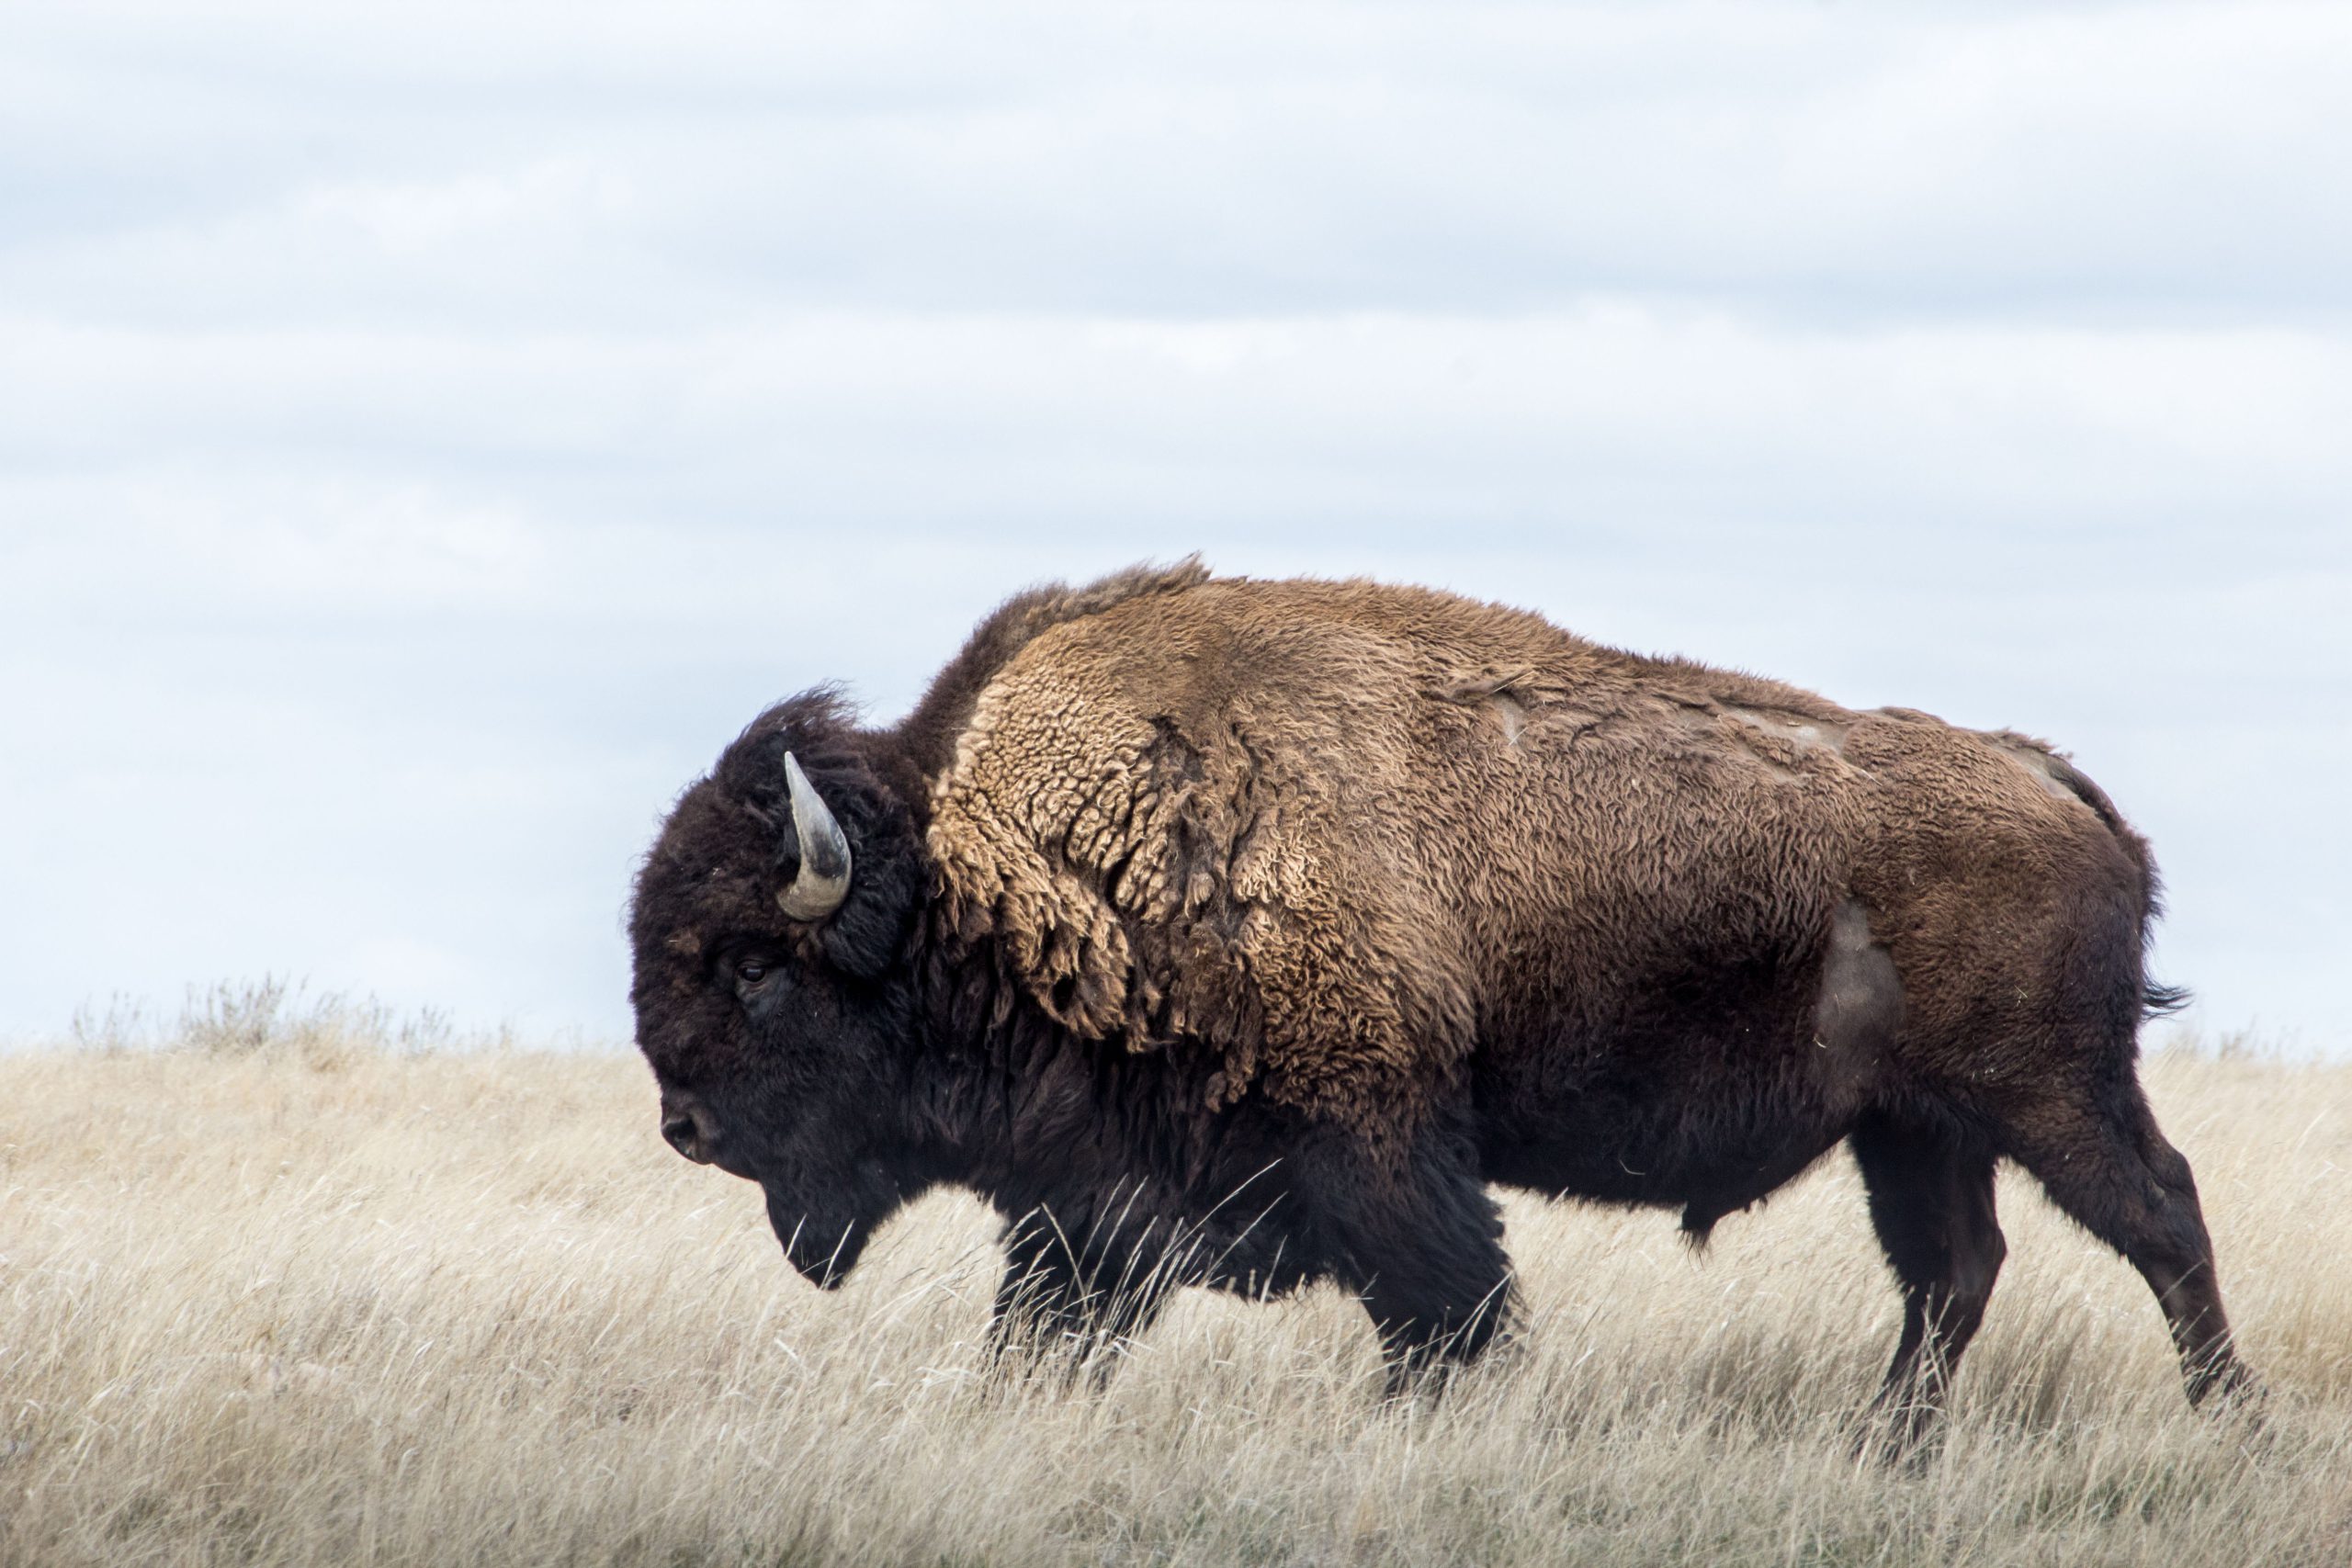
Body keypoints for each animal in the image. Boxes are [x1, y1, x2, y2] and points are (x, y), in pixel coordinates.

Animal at [628, 561, 2253, 1441]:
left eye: (755, 963)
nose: (683, 1122)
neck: (1016, 866)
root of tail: (2054, 780)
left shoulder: (1381, 1147)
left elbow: (1448, 1315)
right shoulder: (1097, 1205)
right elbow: (1043, 1327)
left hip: (2051, 1092)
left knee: (2161, 1217)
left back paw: (2229, 1423)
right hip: (1913, 1124)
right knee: (1950, 1272)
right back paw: (1886, 1452)